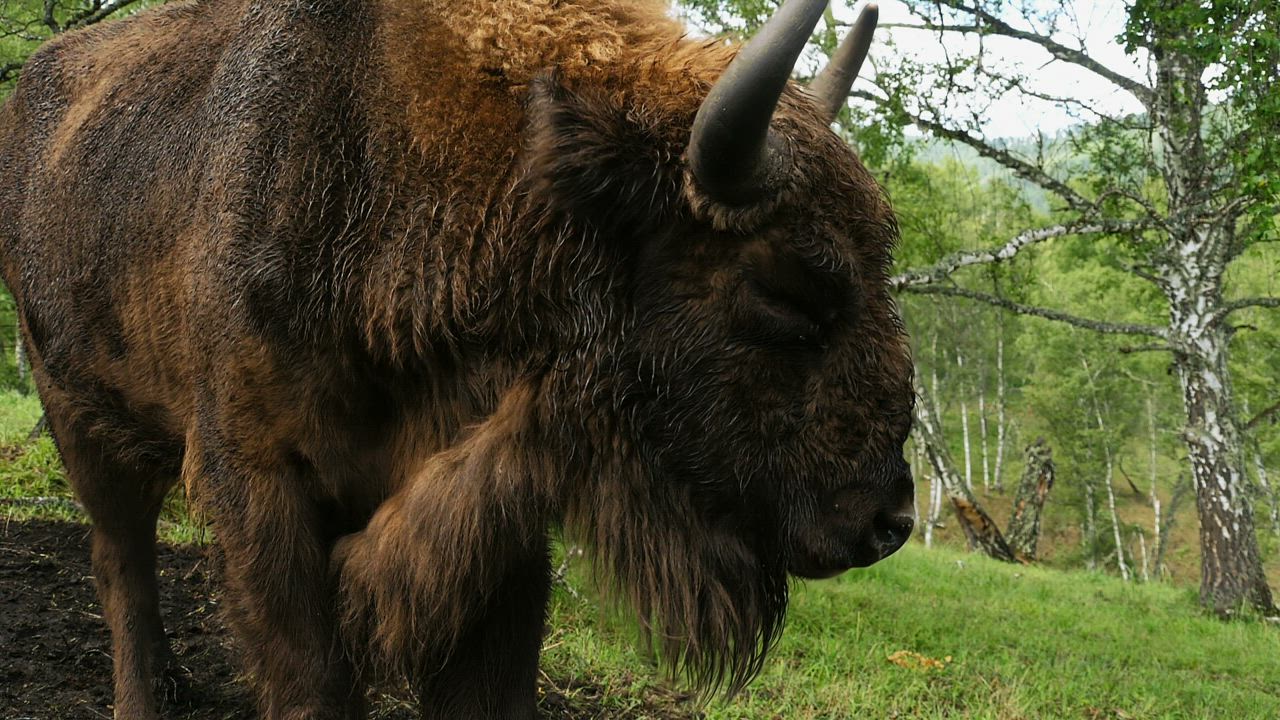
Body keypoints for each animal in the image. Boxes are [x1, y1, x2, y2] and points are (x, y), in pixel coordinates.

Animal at [0, 0, 915, 717]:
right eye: (785, 291)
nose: (890, 521)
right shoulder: (256, 484)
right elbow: (312, 684)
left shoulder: (498, 514)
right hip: (77, 413)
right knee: (121, 561)